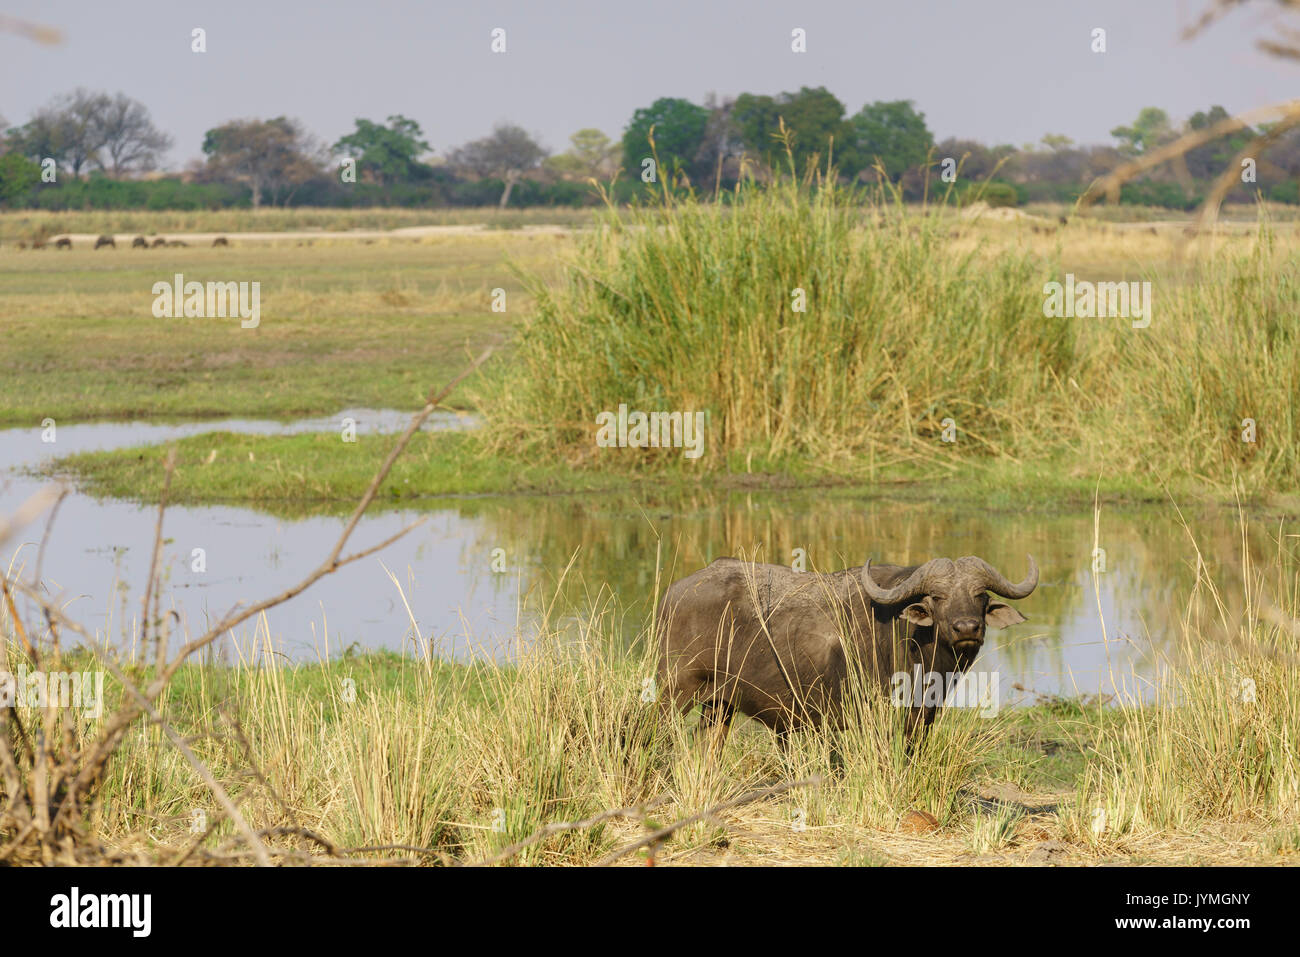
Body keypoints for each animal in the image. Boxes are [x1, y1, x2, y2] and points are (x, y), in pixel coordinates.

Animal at [656, 554, 1037, 742]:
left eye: (980, 595)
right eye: (937, 597)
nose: (967, 628)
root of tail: (674, 594)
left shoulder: (921, 716)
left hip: (719, 704)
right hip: (672, 692)